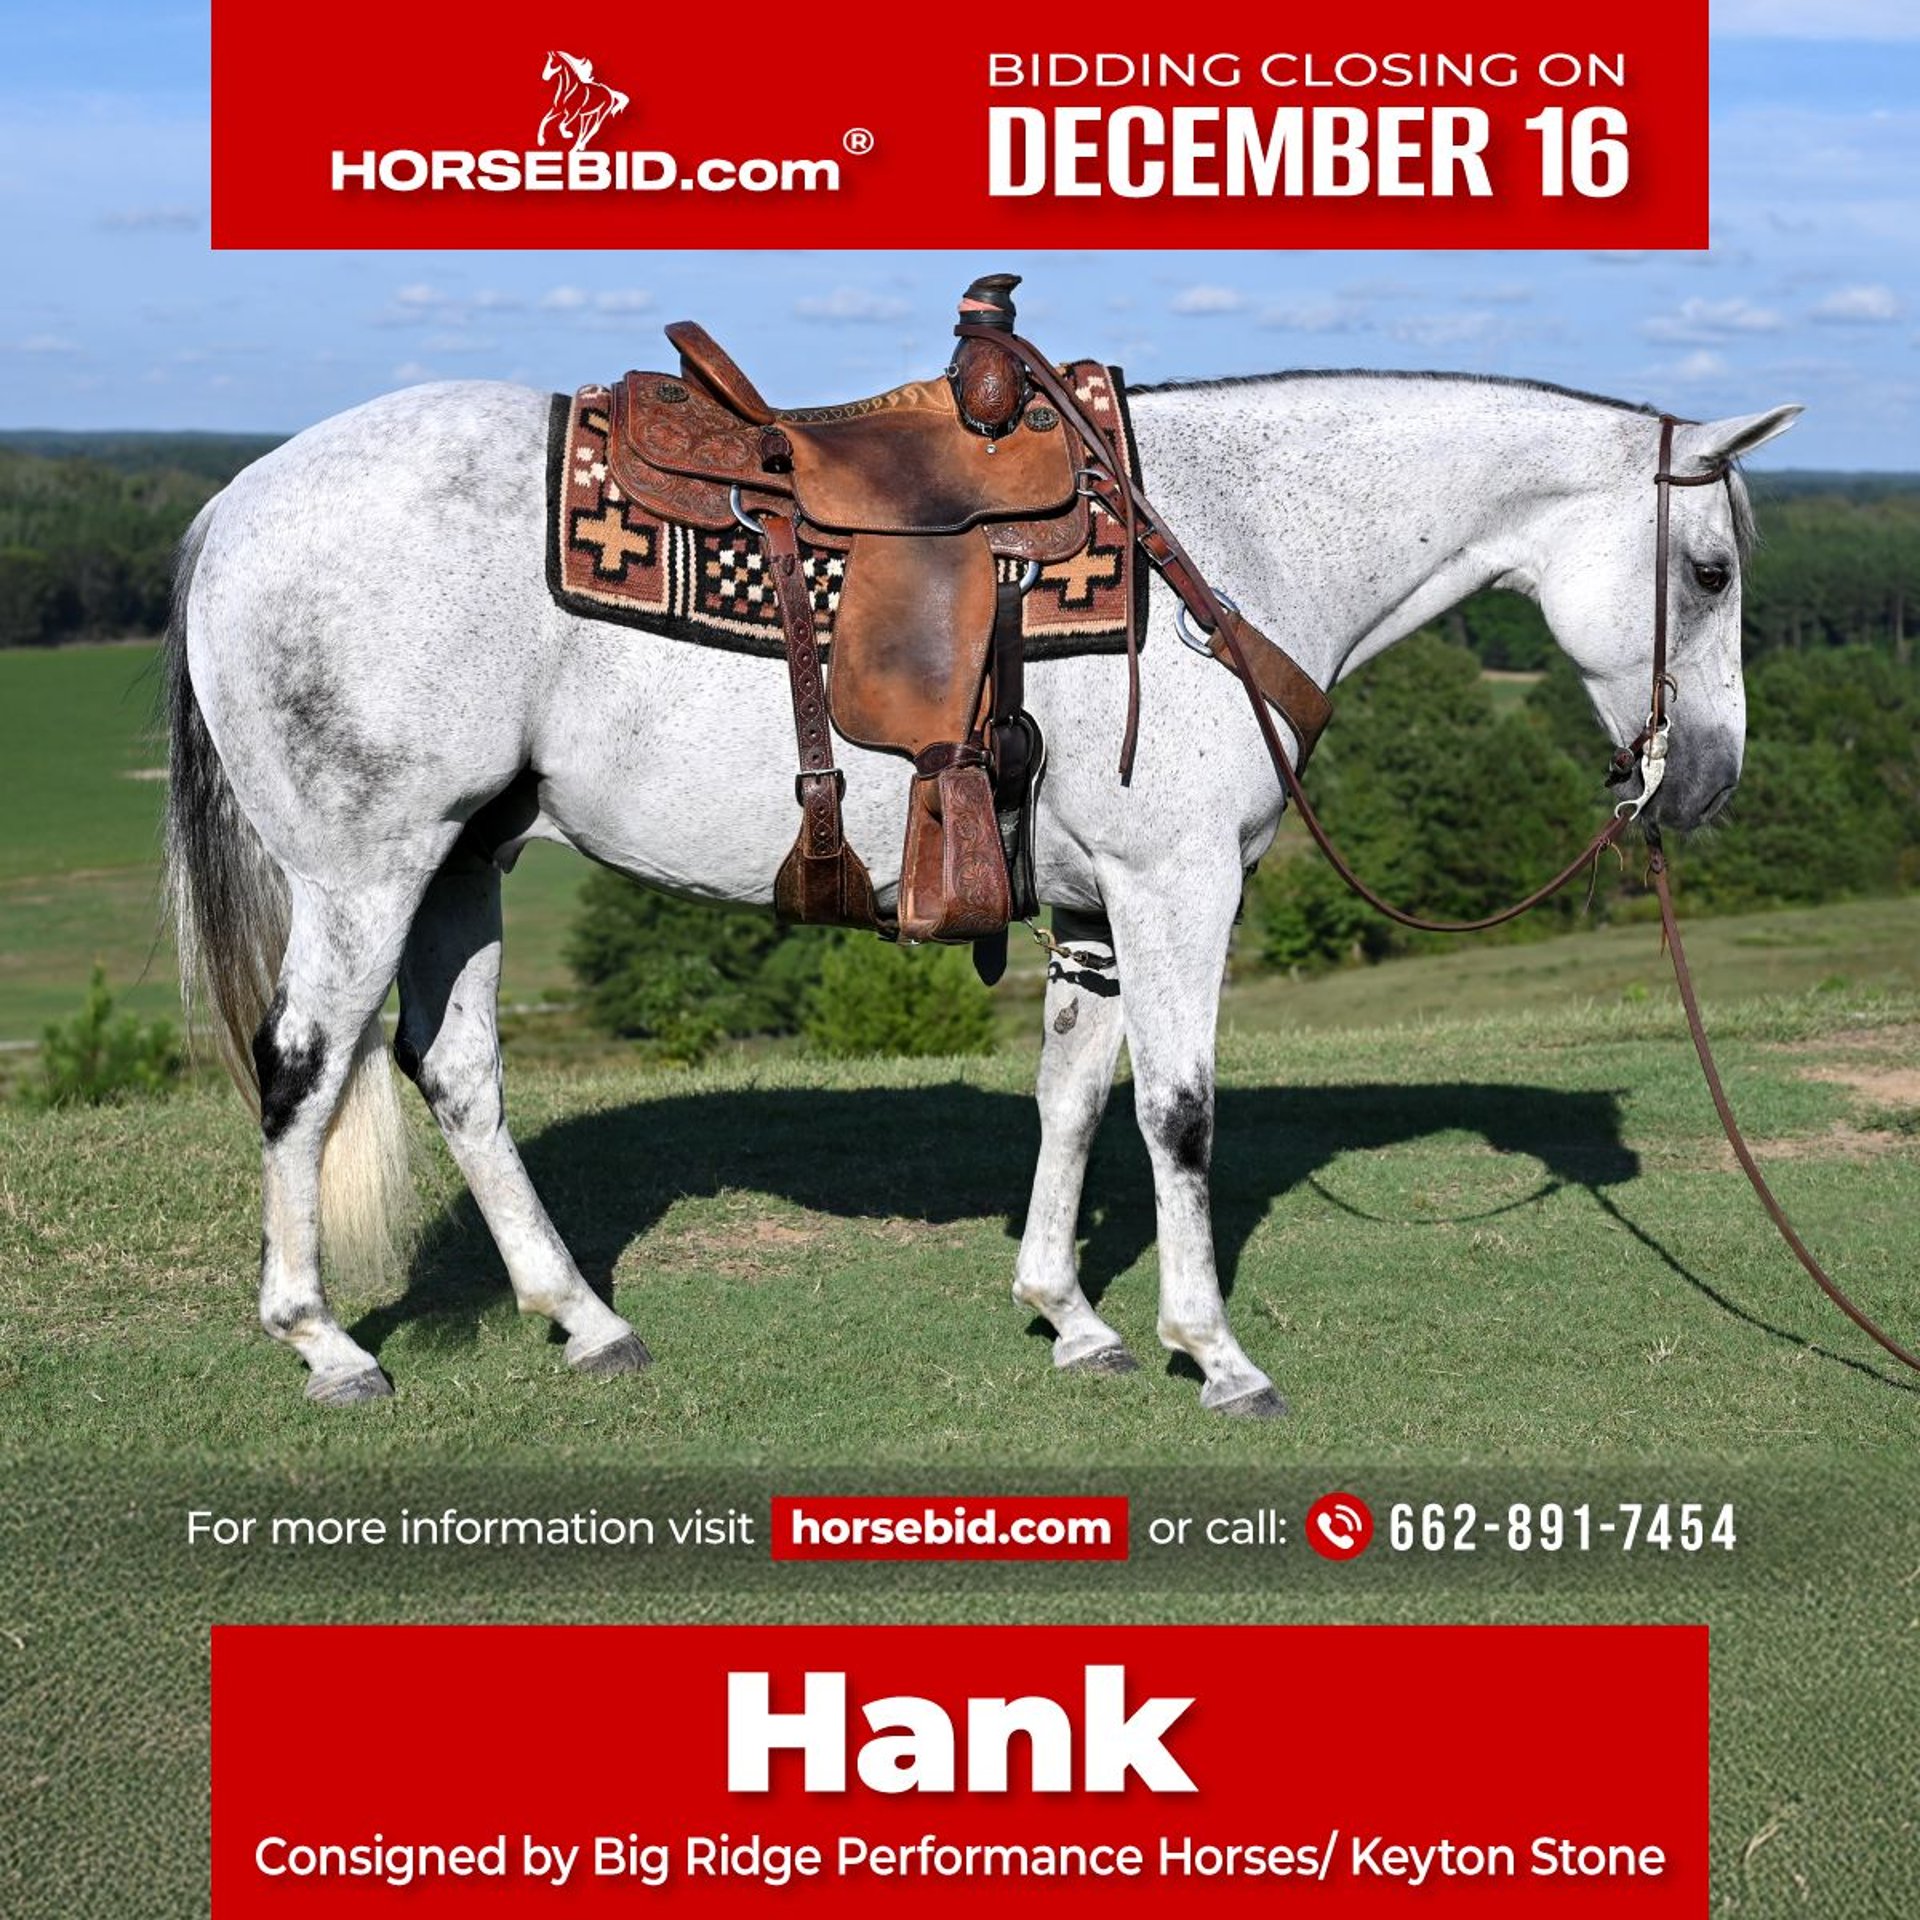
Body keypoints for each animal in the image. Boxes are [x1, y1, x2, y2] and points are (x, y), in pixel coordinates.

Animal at [163, 366, 1799, 1412]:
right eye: (1712, 573)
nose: (1707, 783)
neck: (1230, 548)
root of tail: (232, 504)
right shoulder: (1175, 885)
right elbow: (1179, 1111)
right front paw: (1213, 1352)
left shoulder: (1092, 910)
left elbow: (1073, 1096)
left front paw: (1069, 1318)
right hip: (366, 868)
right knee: (302, 1067)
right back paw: (323, 1344)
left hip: (464, 858)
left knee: (458, 1074)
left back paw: (584, 1320)